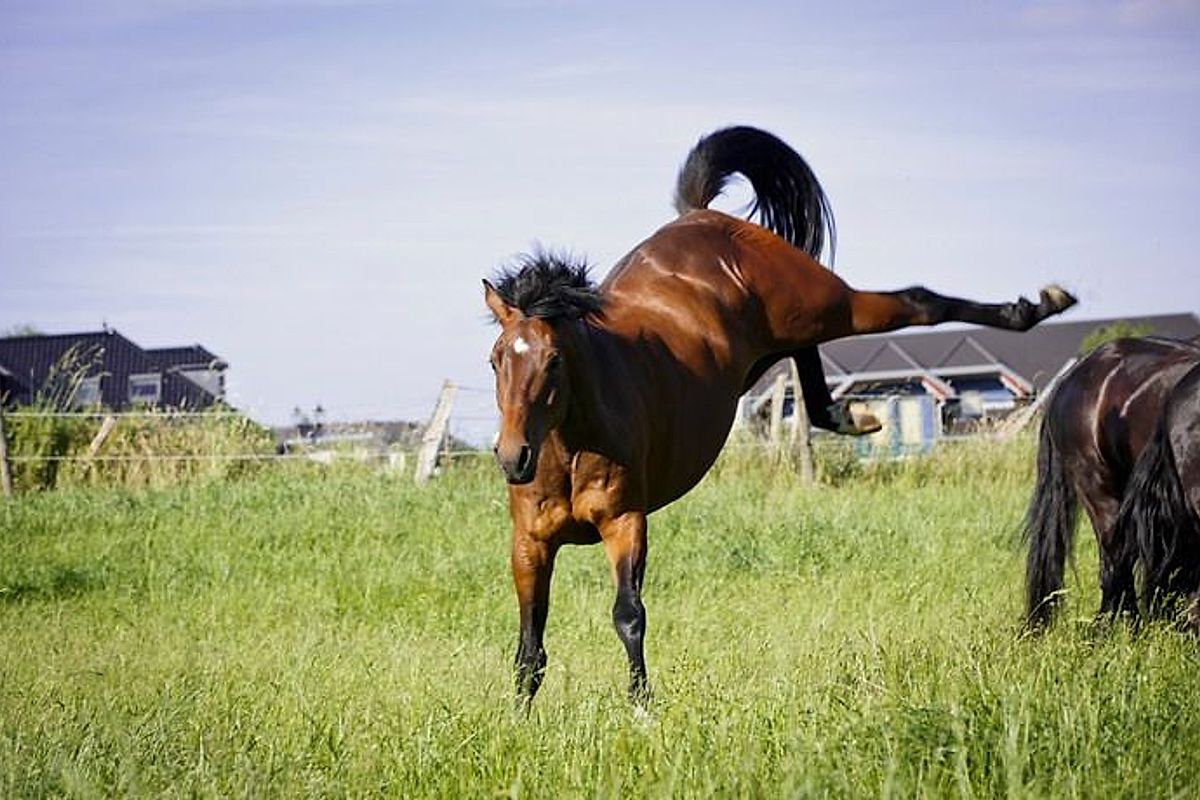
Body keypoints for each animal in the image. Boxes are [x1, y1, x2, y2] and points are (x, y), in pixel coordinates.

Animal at [484, 125, 1077, 705]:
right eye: (495, 360)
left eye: (554, 360)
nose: (513, 458)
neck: (569, 445)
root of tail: (701, 217)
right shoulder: (529, 545)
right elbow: (530, 648)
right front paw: (520, 718)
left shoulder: (625, 522)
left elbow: (628, 615)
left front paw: (642, 707)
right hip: (765, 346)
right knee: (809, 347)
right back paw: (845, 412)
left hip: (819, 298)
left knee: (914, 300)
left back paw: (1036, 306)